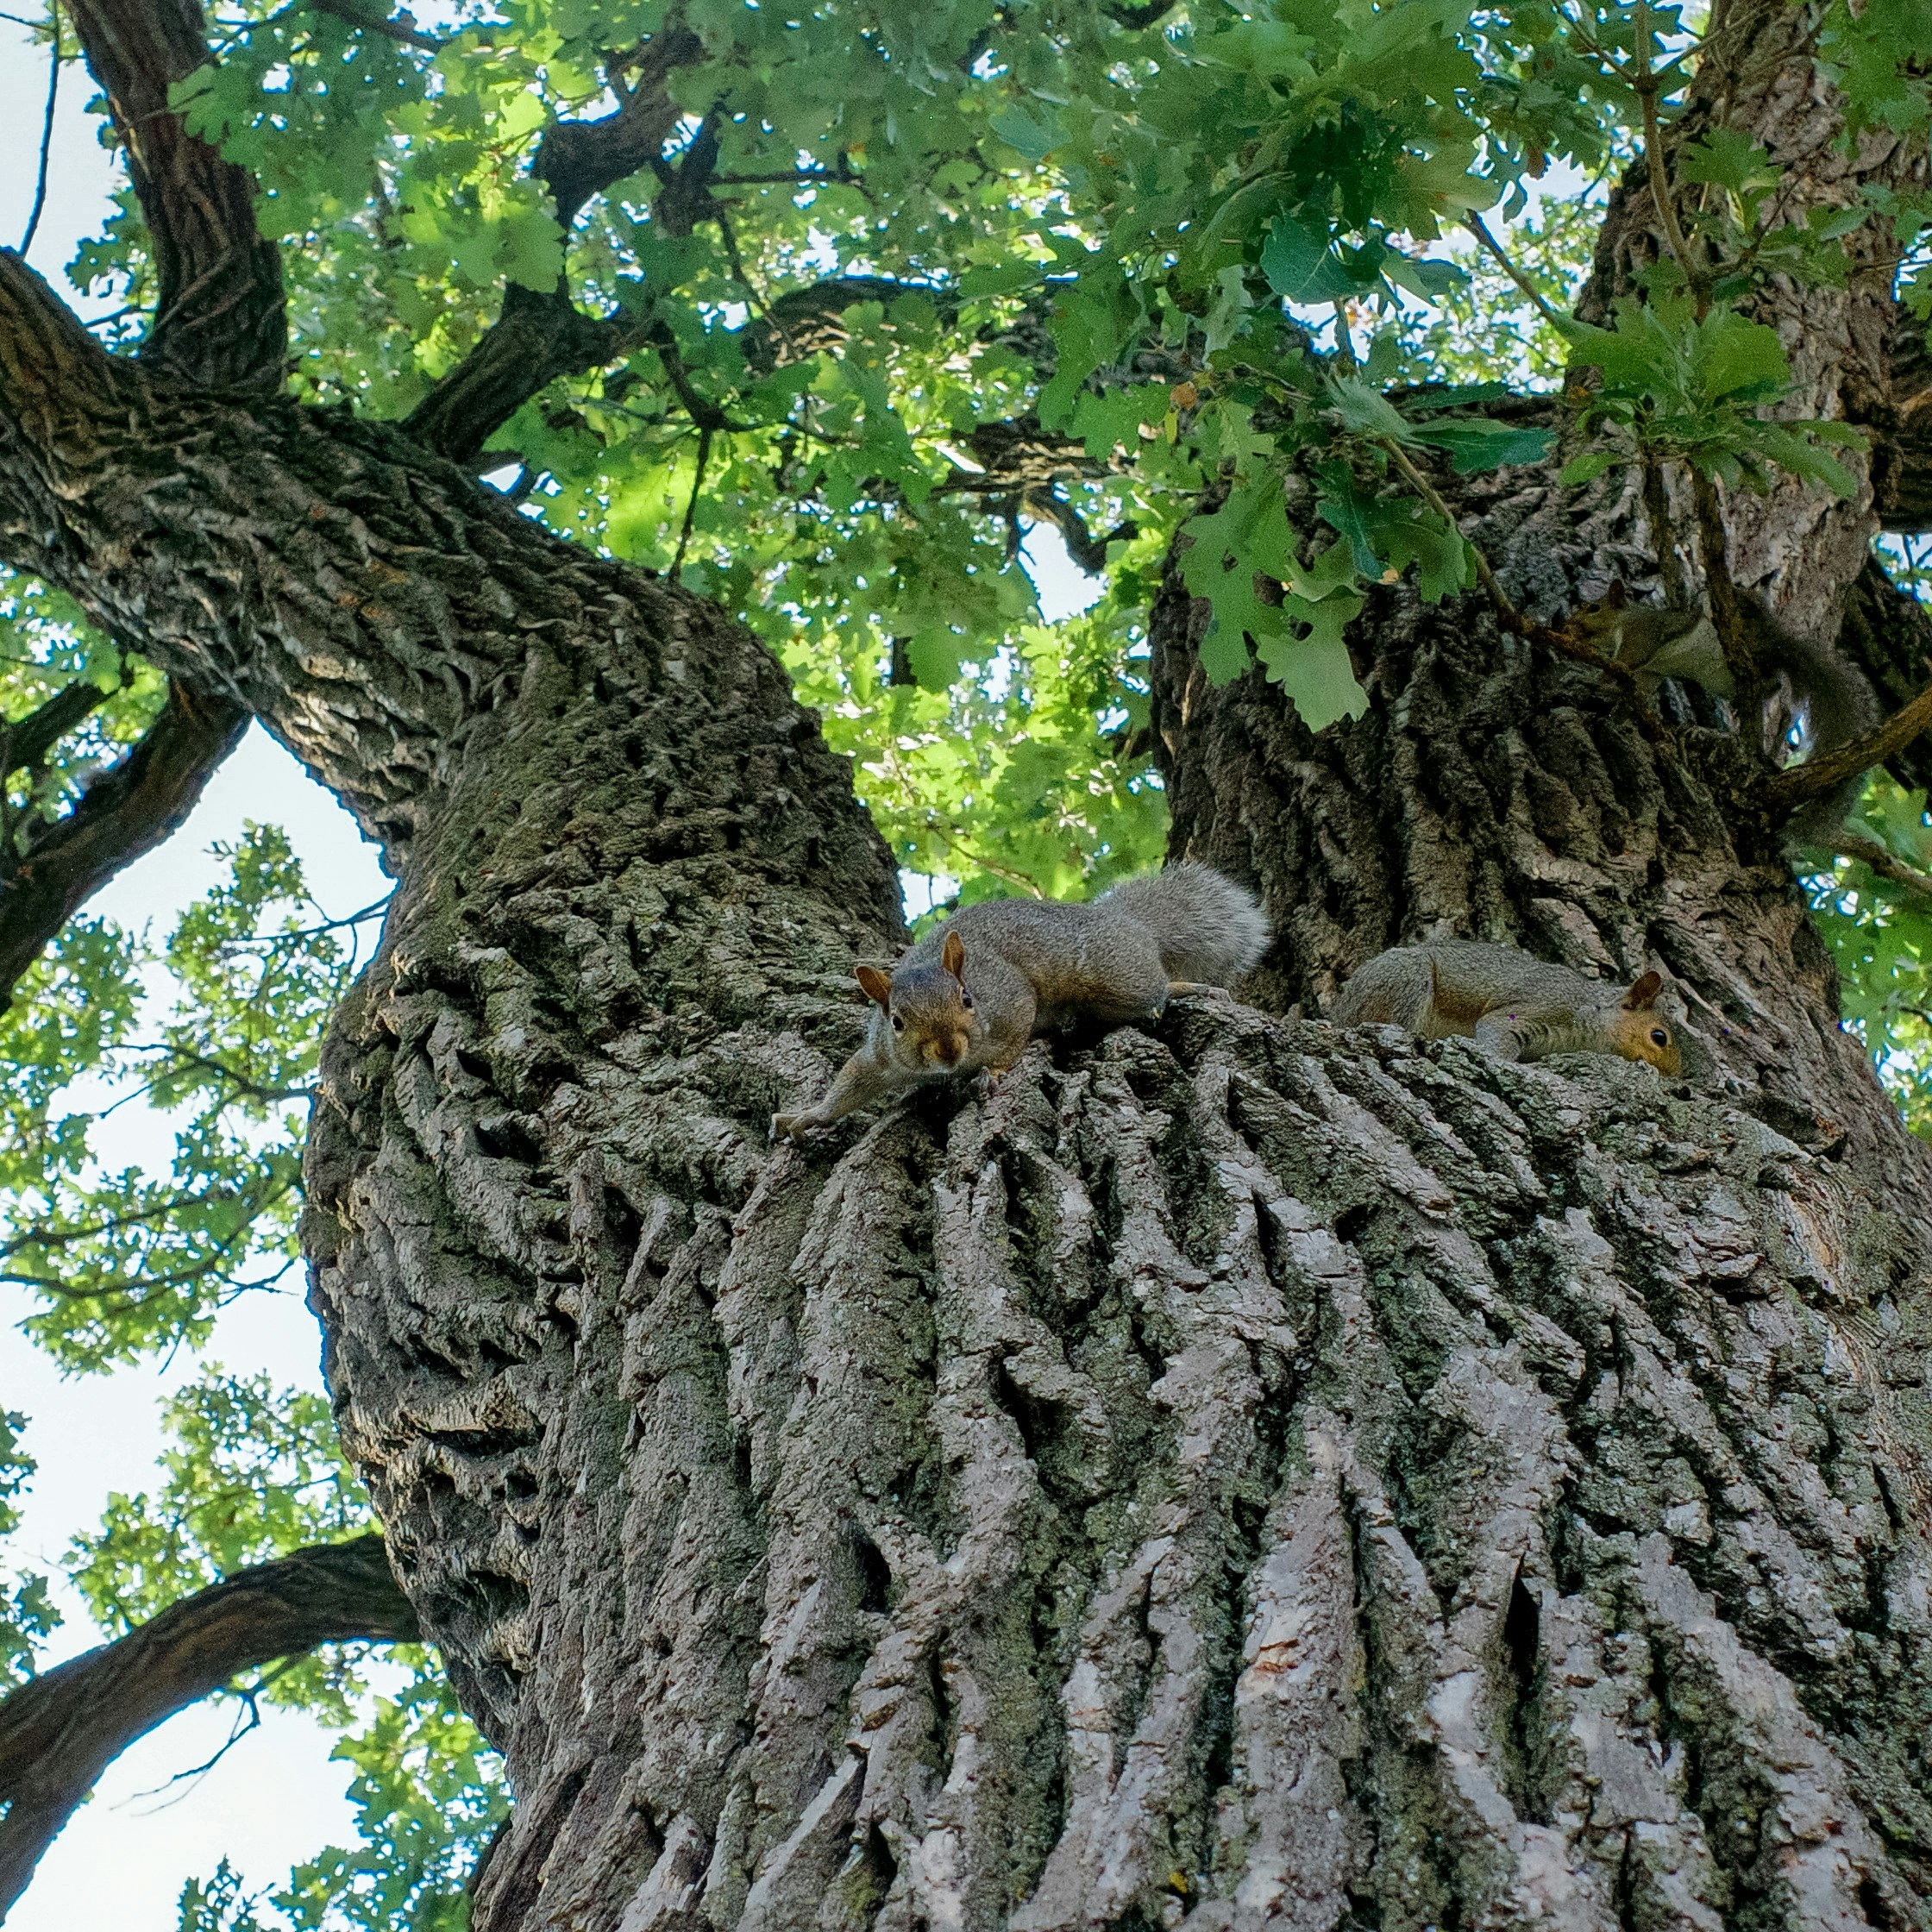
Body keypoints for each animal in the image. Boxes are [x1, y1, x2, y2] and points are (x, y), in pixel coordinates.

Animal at [773, 861, 1270, 1140]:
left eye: (968, 998)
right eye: (896, 1021)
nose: (949, 1051)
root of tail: (1128, 924)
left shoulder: (1013, 1002)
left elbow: (1012, 1042)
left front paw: (992, 1072)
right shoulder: (881, 1056)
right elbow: (852, 1083)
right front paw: (809, 1116)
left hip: (1118, 979)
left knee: (1154, 988)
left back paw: (1188, 988)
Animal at [1330, 939, 1682, 1075]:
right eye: (1659, 1037)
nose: (1677, 1083)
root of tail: (1340, 1011)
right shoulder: (1541, 1006)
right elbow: (1495, 1029)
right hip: (1409, 981)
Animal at [1566, 582, 1878, 846]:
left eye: (1593, 607)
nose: (1567, 625)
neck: (1624, 621)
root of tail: (1776, 641)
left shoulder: (1641, 637)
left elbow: (1622, 664)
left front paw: (1589, 679)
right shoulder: (1649, 674)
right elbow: (1635, 686)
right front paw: (1615, 705)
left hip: (1745, 643)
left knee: (1771, 679)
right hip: (1720, 681)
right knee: (1775, 687)